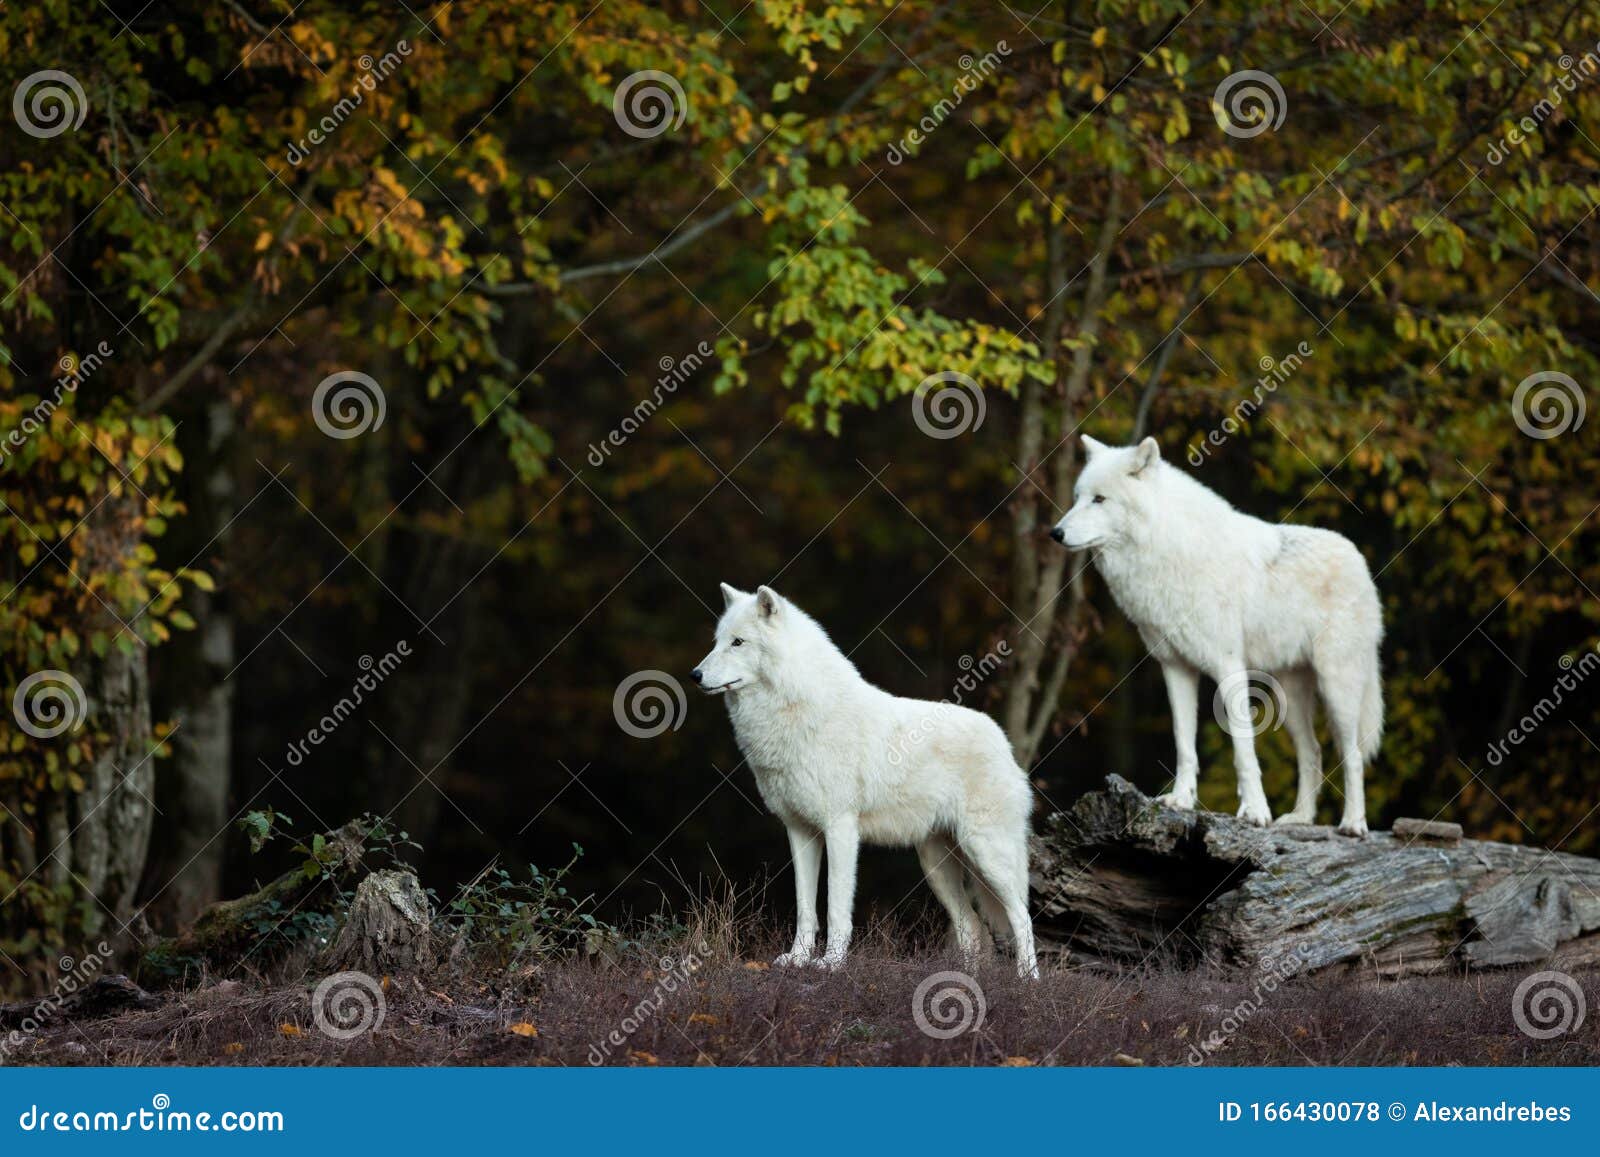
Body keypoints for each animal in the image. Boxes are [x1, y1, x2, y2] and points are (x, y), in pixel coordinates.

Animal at [693, 584, 1039, 976]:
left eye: (738, 642)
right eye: (717, 641)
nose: (694, 675)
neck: (796, 709)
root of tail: (1003, 740)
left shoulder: (840, 828)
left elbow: (836, 907)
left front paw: (831, 964)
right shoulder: (799, 830)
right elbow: (805, 908)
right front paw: (797, 960)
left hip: (987, 853)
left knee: (1022, 916)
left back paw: (1027, 981)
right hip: (936, 865)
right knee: (972, 926)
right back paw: (964, 980)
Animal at [1050, 435, 1383, 836]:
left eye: (1099, 499)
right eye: (1077, 497)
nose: (1055, 533)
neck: (1166, 548)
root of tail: (1358, 559)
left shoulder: (1228, 665)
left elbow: (1244, 749)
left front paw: (1254, 811)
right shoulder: (1175, 667)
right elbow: (1184, 744)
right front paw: (1181, 799)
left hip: (1338, 689)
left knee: (1353, 755)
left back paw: (1353, 823)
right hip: (1289, 696)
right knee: (1313, 750)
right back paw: (1300, 817)